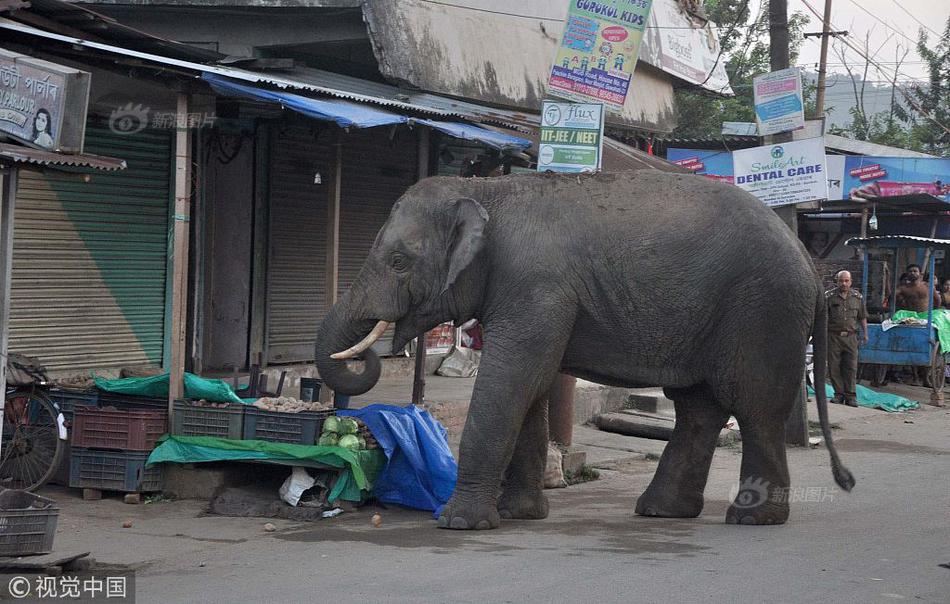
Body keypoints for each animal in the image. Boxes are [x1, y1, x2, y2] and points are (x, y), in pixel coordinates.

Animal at [316, 170, 860, 528]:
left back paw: (751, 520)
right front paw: (521, 516)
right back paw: (661, 511)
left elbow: (513, 379)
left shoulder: (537, 287)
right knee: (698, 409)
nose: (369, 352)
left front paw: (460, 524)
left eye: (399, 262)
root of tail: (811, 264)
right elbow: (531, 386)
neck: (487, 189)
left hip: (763, 311)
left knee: (754, 407)